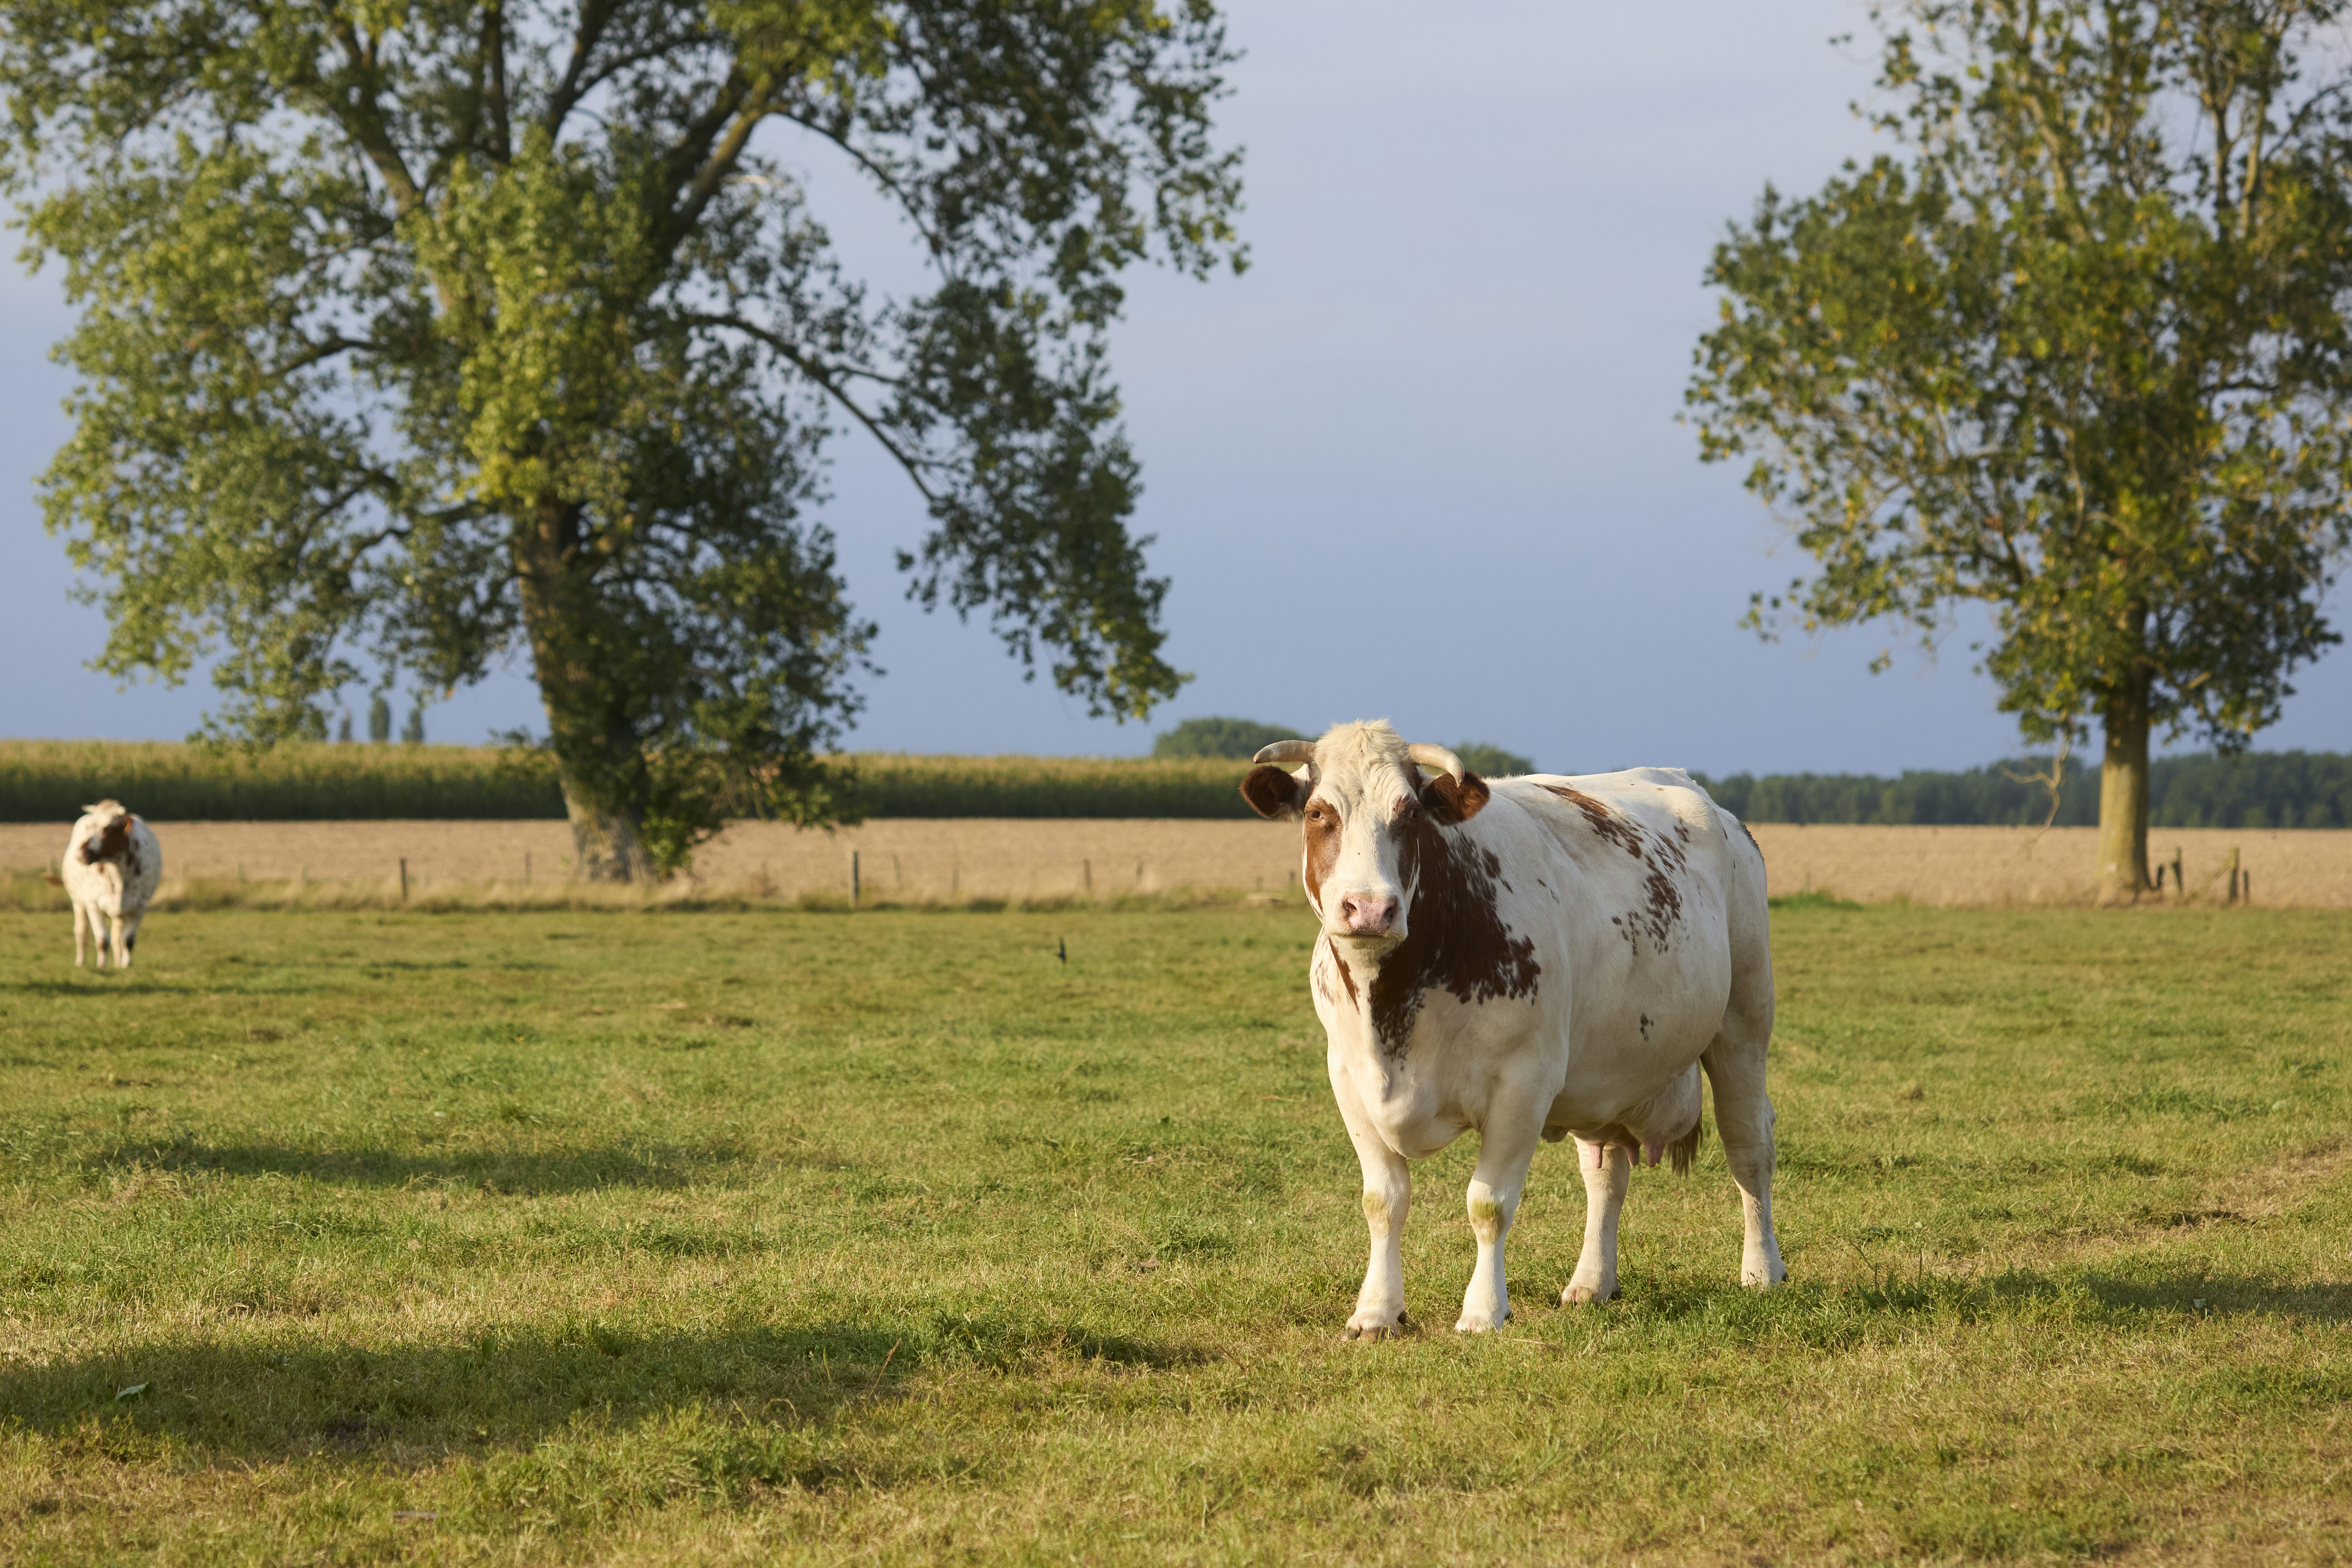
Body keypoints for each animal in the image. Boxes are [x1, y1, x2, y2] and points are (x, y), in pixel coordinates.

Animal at [58, 800, 163, 970]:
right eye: (89, 827)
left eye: (107, 828)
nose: (81, 855)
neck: (118, 873)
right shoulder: (93, 904)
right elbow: (102, 940)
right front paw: (102, 965)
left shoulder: (139, 906)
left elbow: (128, 940)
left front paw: (126, 965)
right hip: (78, 903)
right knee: (81, 932)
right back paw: (80, 961)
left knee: (117, 937)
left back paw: (119, 962)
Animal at [1240, 720, 1784, 1336]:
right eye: (1317, 813)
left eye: (1410, 813)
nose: (1369, 910)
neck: (1395, 1008)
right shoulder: (1348, 1080)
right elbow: (1383, 1201)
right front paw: (1376, 1311)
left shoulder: (1523, 1083)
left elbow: (1488, 1204)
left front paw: (1482, 1310)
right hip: (1603, 1074)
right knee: (1605, 1176)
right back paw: (1592, 1282)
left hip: (1743, 1023)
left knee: (1748, 1144)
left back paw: (1761, 1269)